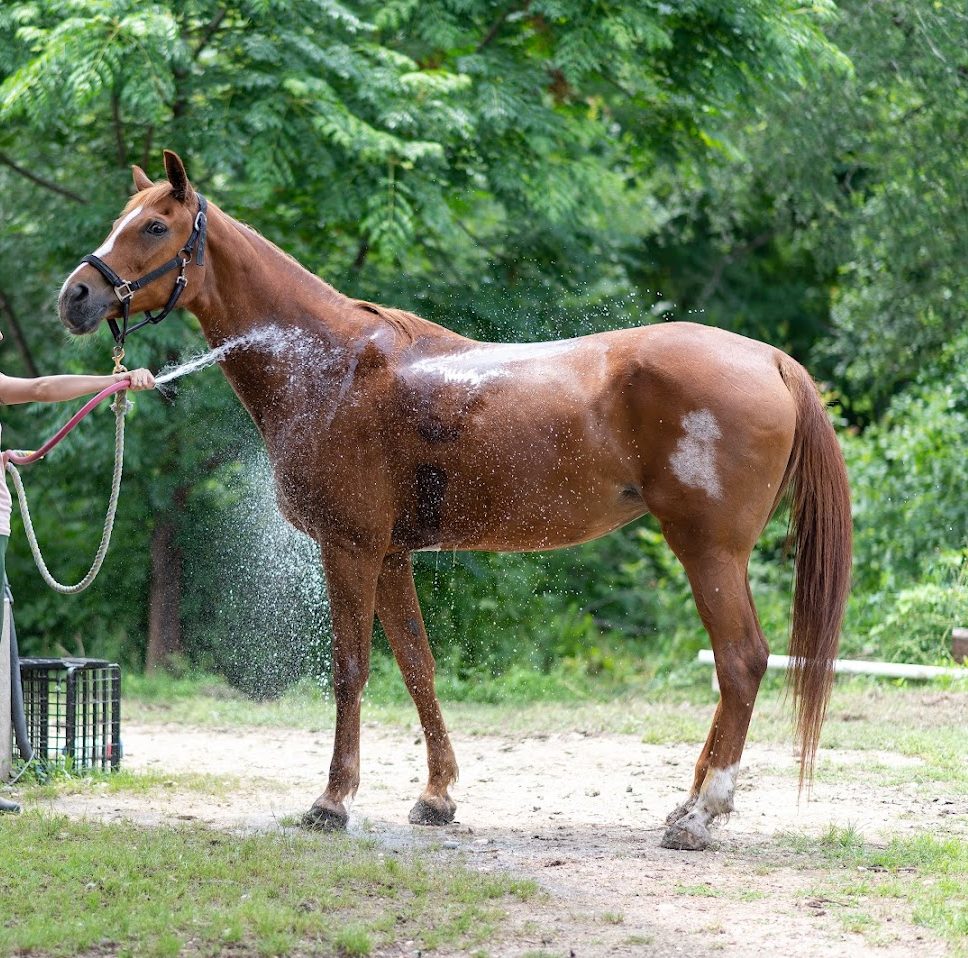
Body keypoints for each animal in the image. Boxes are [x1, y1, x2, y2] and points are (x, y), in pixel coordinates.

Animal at [57, 151, 851, 851]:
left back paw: (701, 817)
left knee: (741, 662)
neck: (330, 364)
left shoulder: (349, 549)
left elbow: (351, 671)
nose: (76, 296)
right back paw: (687, 807)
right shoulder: (392, 556)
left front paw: (332, 801)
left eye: (153, 226)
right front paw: (437, 795)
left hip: (708, 551)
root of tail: (769, 358)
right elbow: (418, 664)